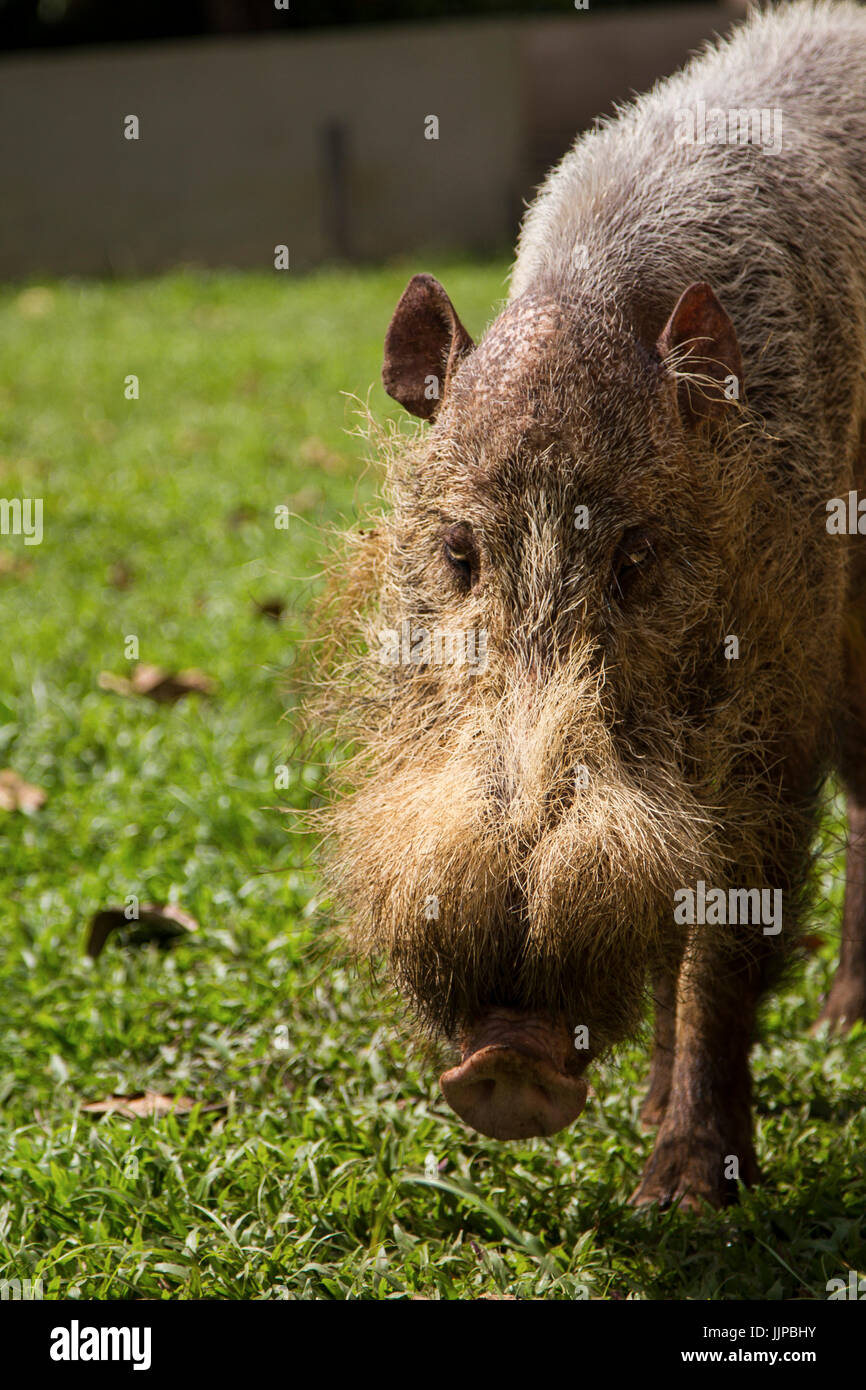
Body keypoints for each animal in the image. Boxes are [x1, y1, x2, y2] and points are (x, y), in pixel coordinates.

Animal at [315, 0, 866, 1208]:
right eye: (459, 550)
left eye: (637, 553)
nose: (504, 1063)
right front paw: (655, 1121)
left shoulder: (782, 707)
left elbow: (723, 947)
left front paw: (680, 1192)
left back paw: (839, 1029)